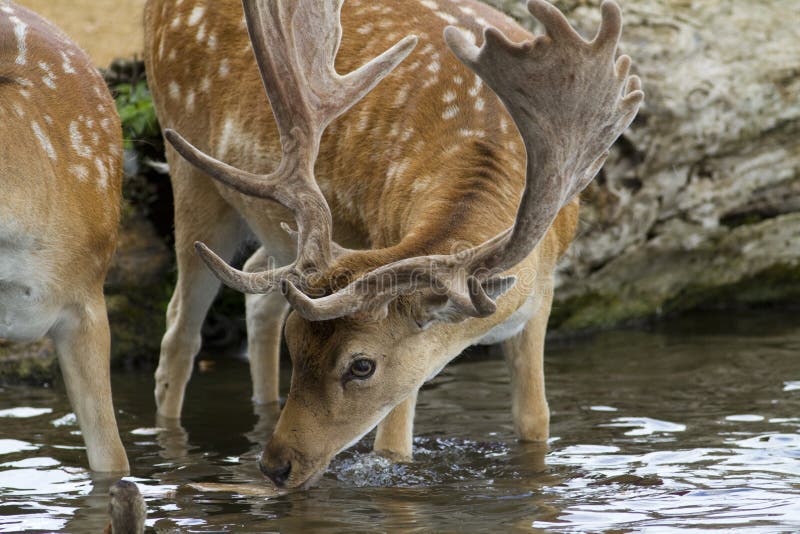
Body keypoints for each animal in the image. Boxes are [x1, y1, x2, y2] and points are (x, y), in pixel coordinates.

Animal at [144, 0, 642, 489]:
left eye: (361, 364)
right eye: (296, 340)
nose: (275, 466)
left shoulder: (540, 301)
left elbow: (535, 422)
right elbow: (393, 450)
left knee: (255, 293)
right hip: (190, 175)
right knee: (179, 332)